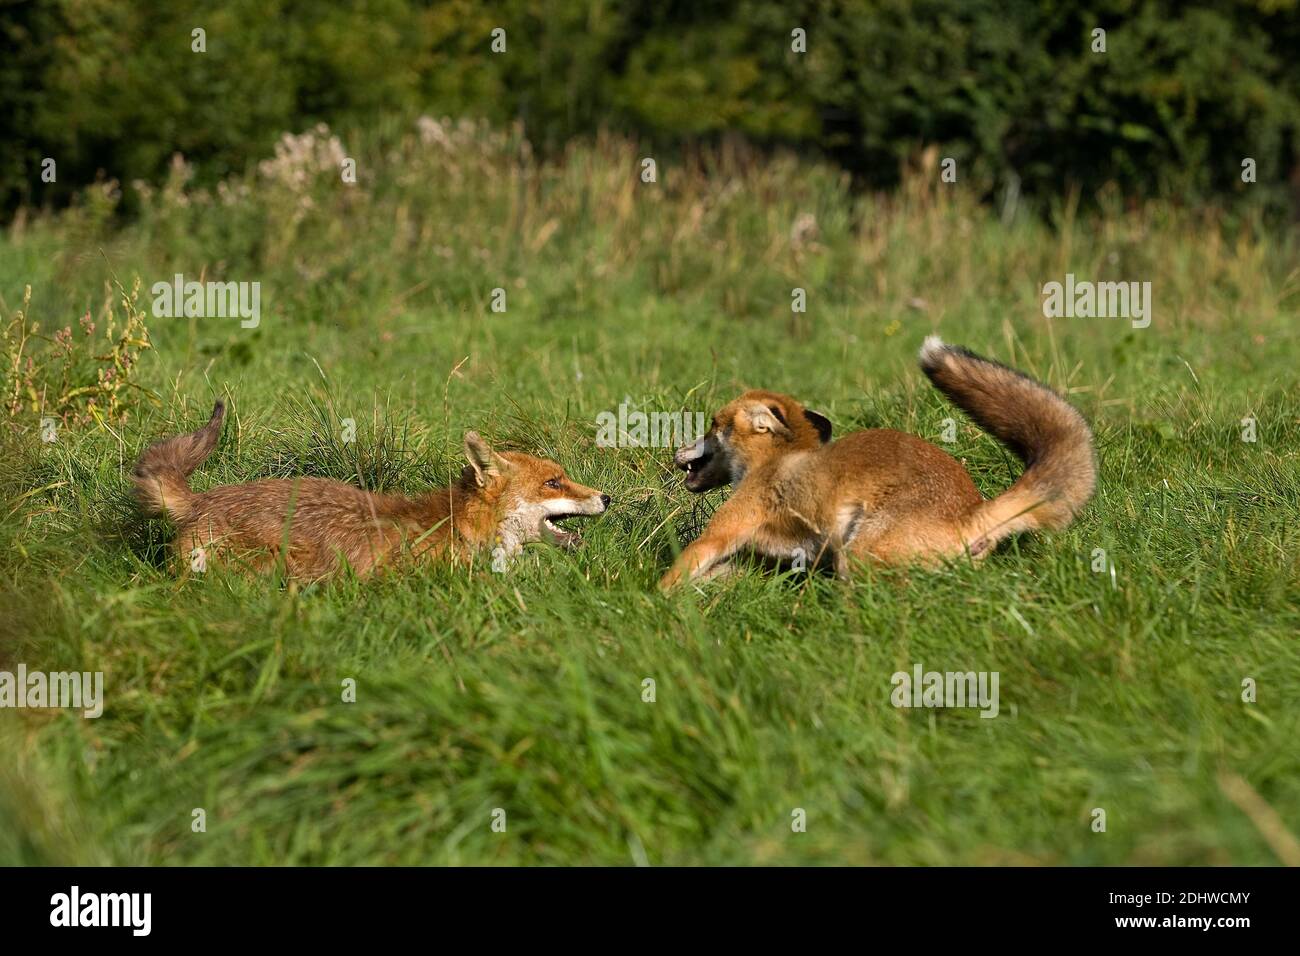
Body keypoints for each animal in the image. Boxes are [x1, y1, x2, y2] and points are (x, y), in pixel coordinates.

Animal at [659, 336, 1096, 590]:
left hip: (857, 554)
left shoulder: (724, 532)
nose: (676, 450)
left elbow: (672, 577)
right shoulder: (759, 558)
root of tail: (972, 512)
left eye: (713, 424)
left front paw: (654, 609)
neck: (776, 462)